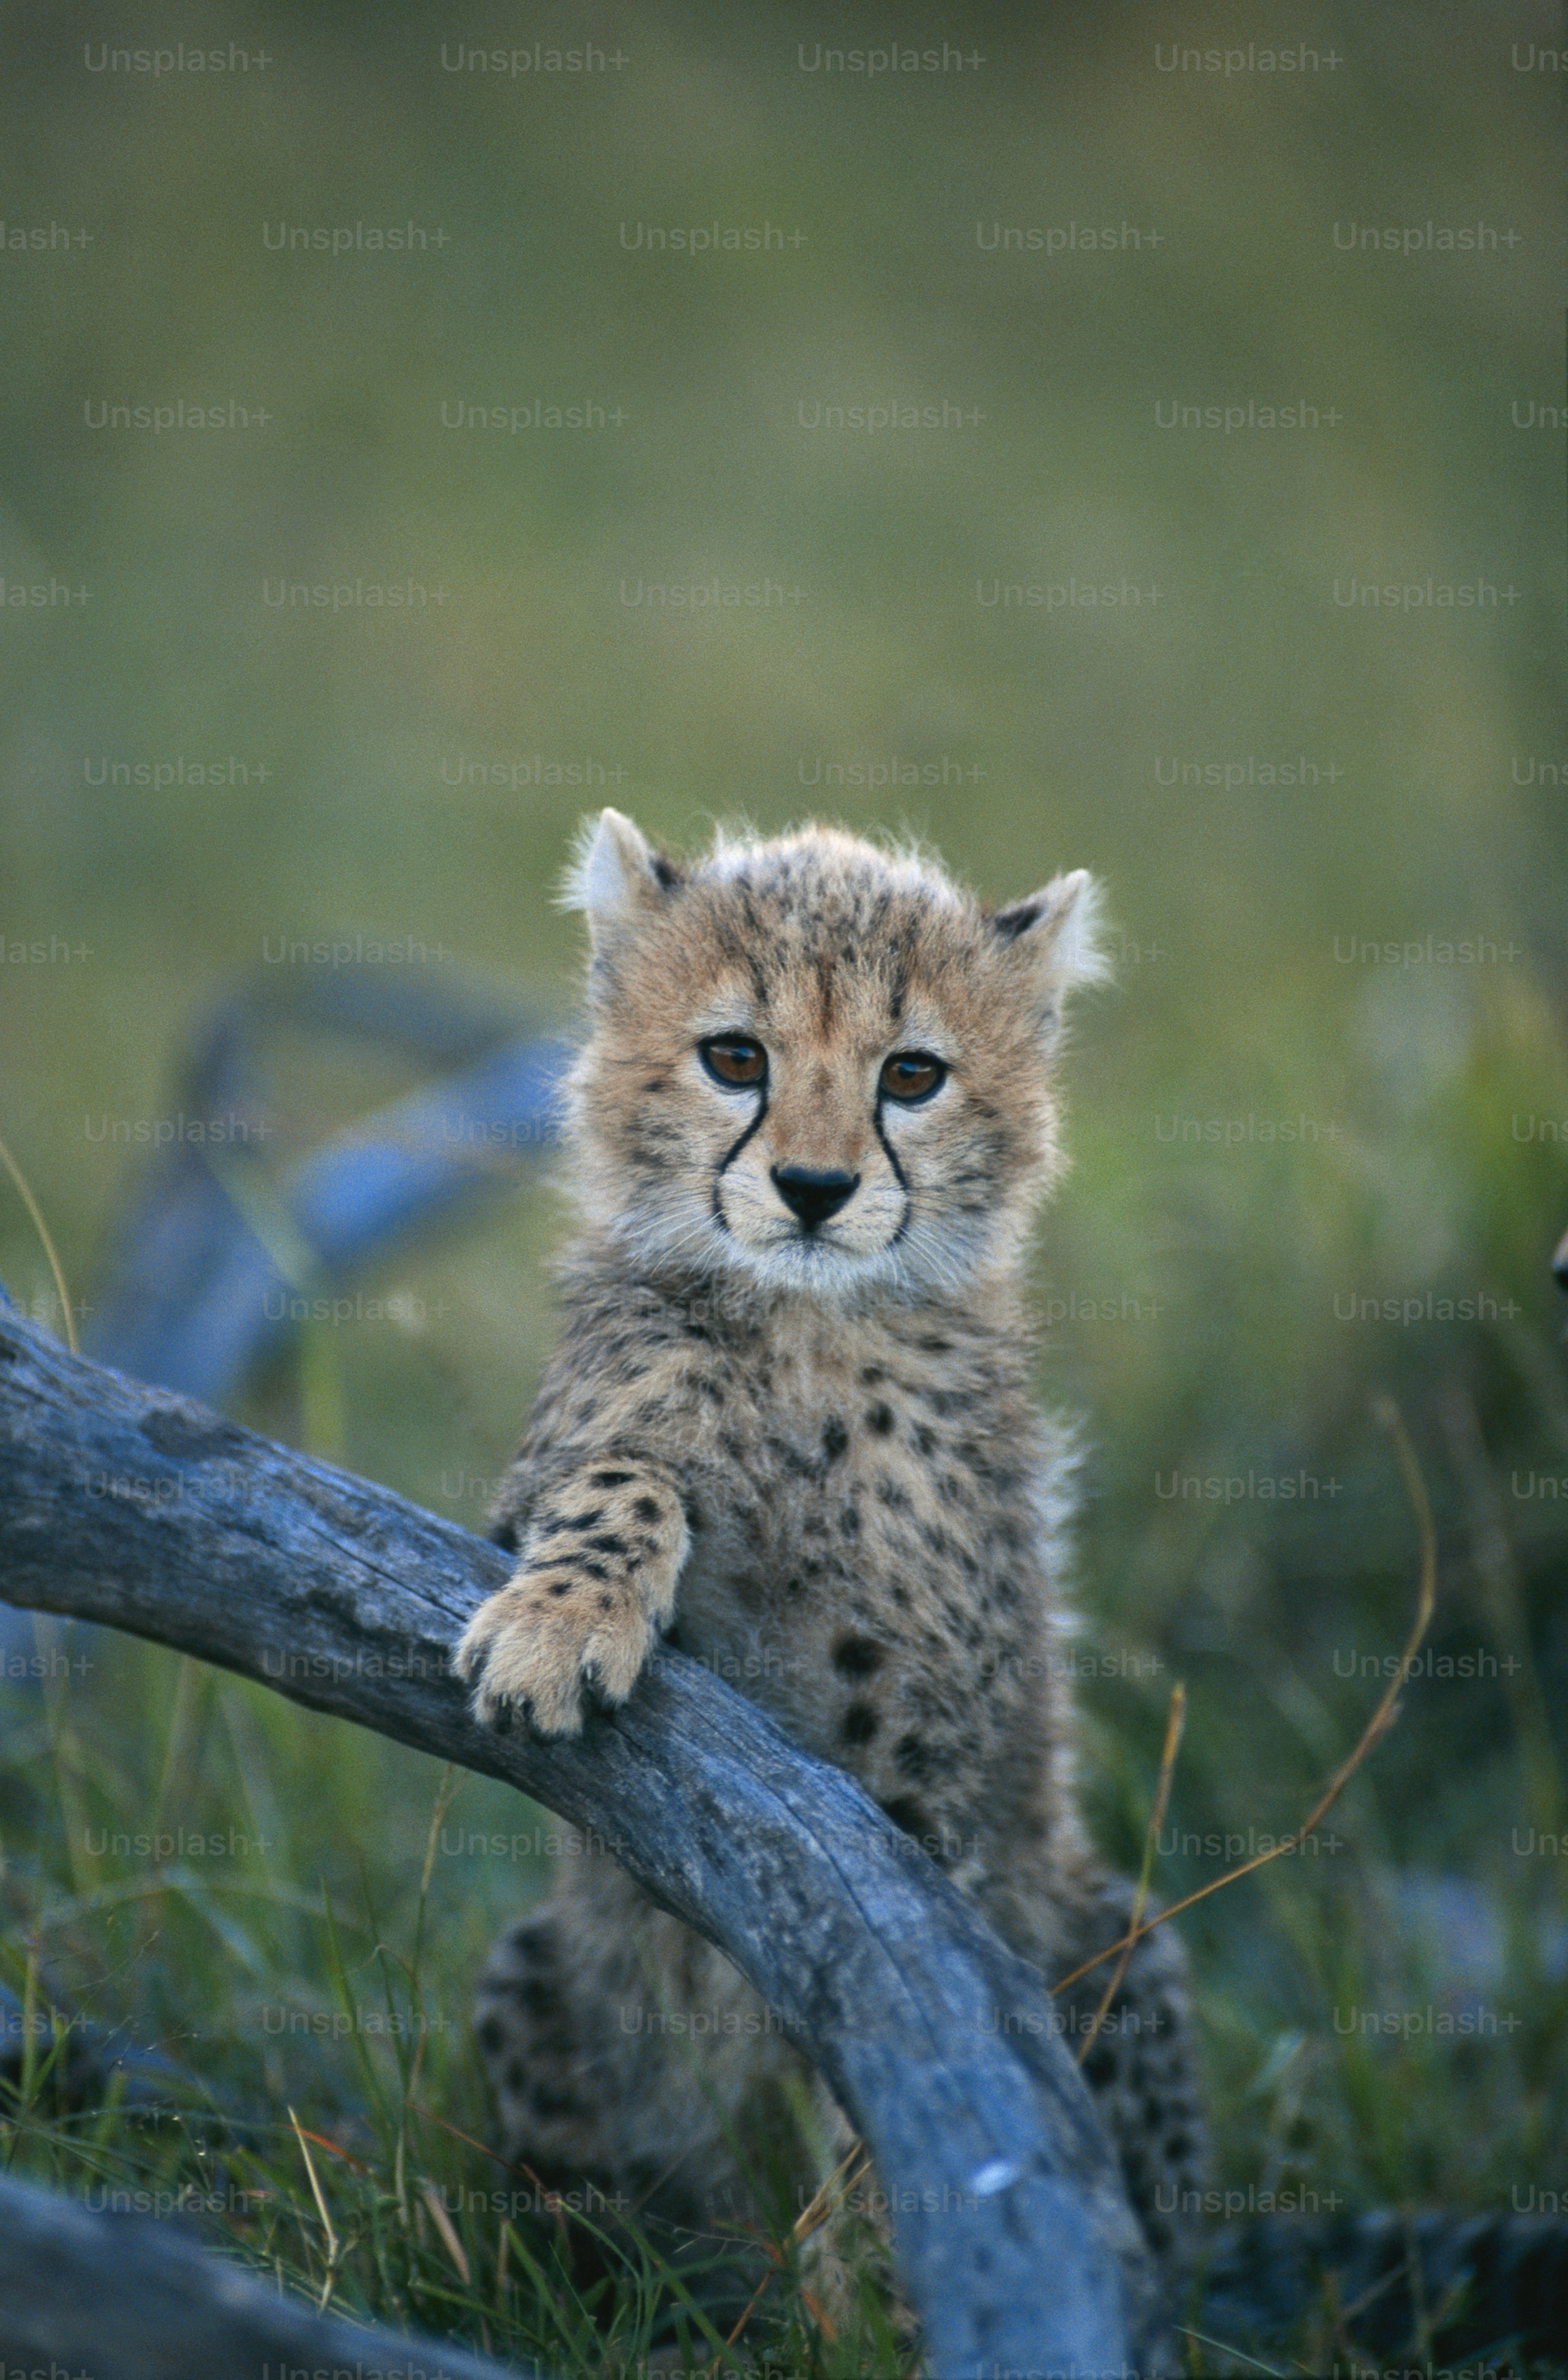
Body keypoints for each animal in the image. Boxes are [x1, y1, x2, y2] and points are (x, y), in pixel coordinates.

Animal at [453, 808, 1205, 2326]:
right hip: (539, 1971)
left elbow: (902, 2076)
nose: (811, 1188)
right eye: (734, 1056)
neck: (802, 1336)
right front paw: (560, 1624)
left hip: (1118, 1939)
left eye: (909, 1074)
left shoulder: (915, 1802)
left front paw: (886, 2297)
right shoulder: (551, 1468)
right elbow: (619, 1478)